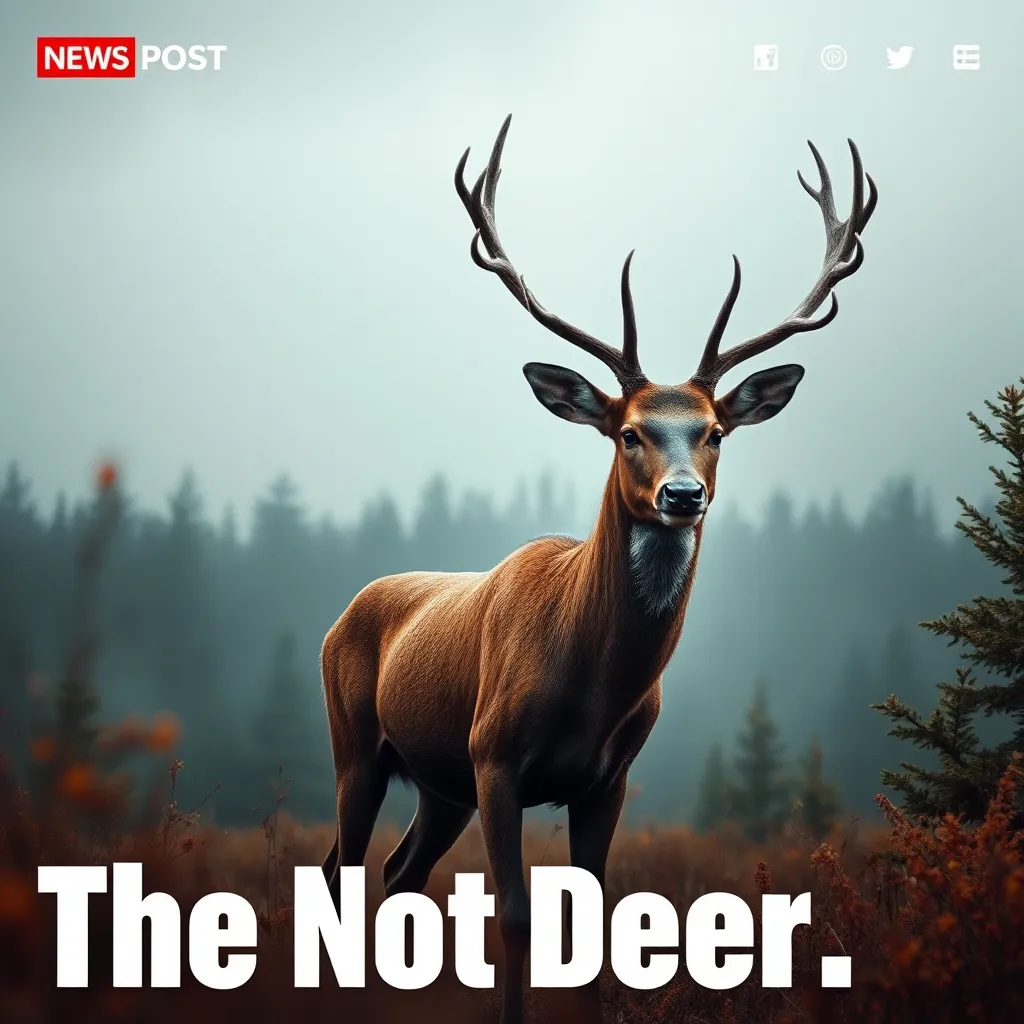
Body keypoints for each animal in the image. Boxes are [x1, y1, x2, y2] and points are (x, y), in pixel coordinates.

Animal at [319, 115, 876, 1023]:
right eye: (629, 432)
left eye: (714, 430)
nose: (683, 495)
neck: (587, 679)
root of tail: (345, 612)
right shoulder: (494, 756)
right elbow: (513, 916)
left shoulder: (606, 777)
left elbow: (598, 926)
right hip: (358, 744)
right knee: (340, 867)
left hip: (437, 784)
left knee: (397, 874)